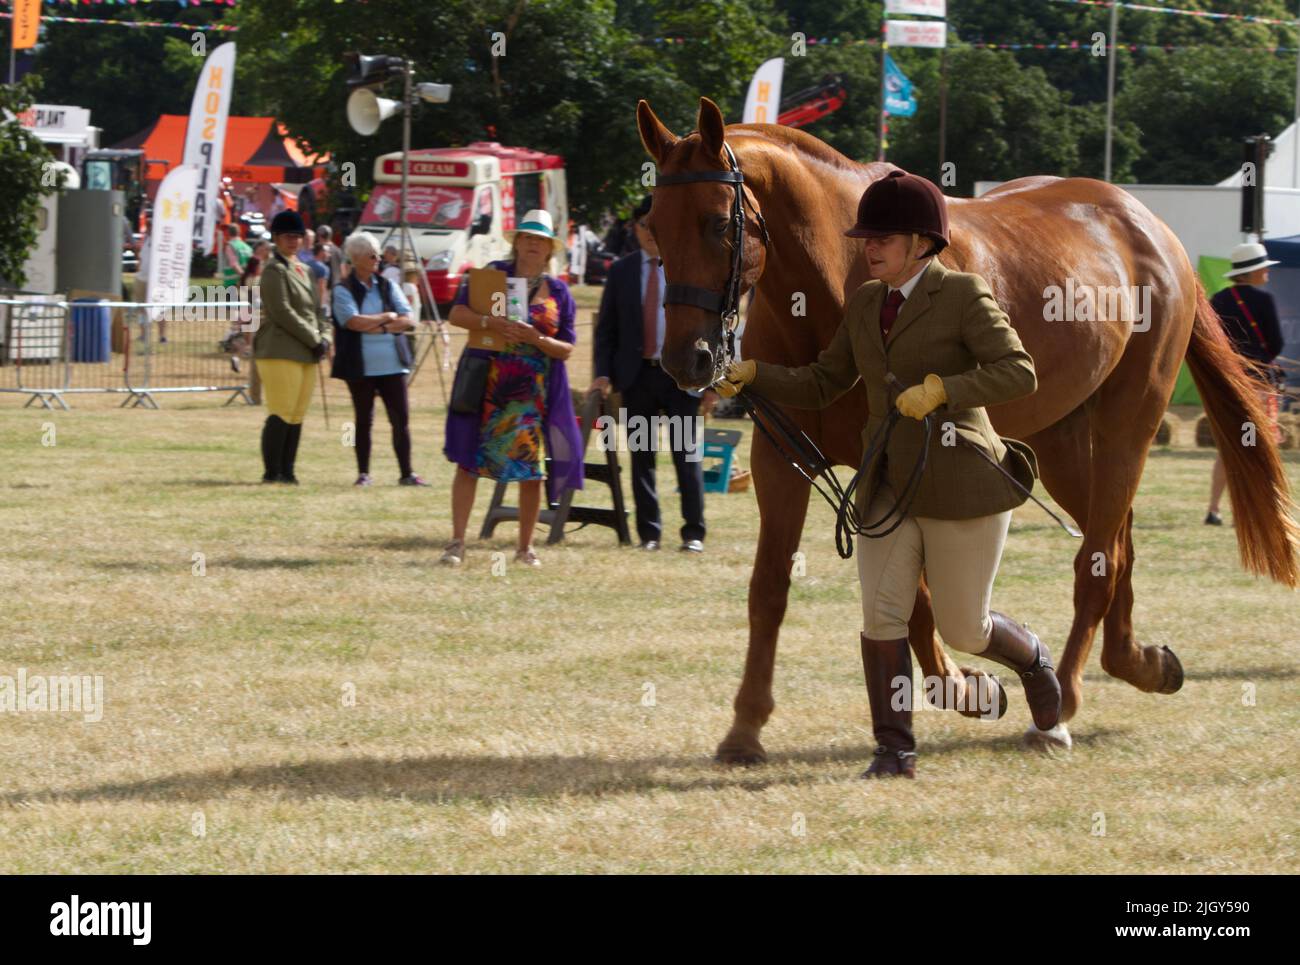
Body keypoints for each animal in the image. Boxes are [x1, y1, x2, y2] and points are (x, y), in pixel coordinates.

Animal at [637, 96, 1299, 762]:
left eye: (718, 225)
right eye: (654, 229)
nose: (686, 360)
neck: (831, 283)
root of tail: (1152, 230)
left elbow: (917, 593)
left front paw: (962, 684)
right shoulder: (788, 463)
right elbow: (781, 587)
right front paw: (747, 726)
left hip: (1128, 424)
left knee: (1098, 559)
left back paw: (1065, 704)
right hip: (1060, 441)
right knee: (1118, 545)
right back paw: (1139, 663)